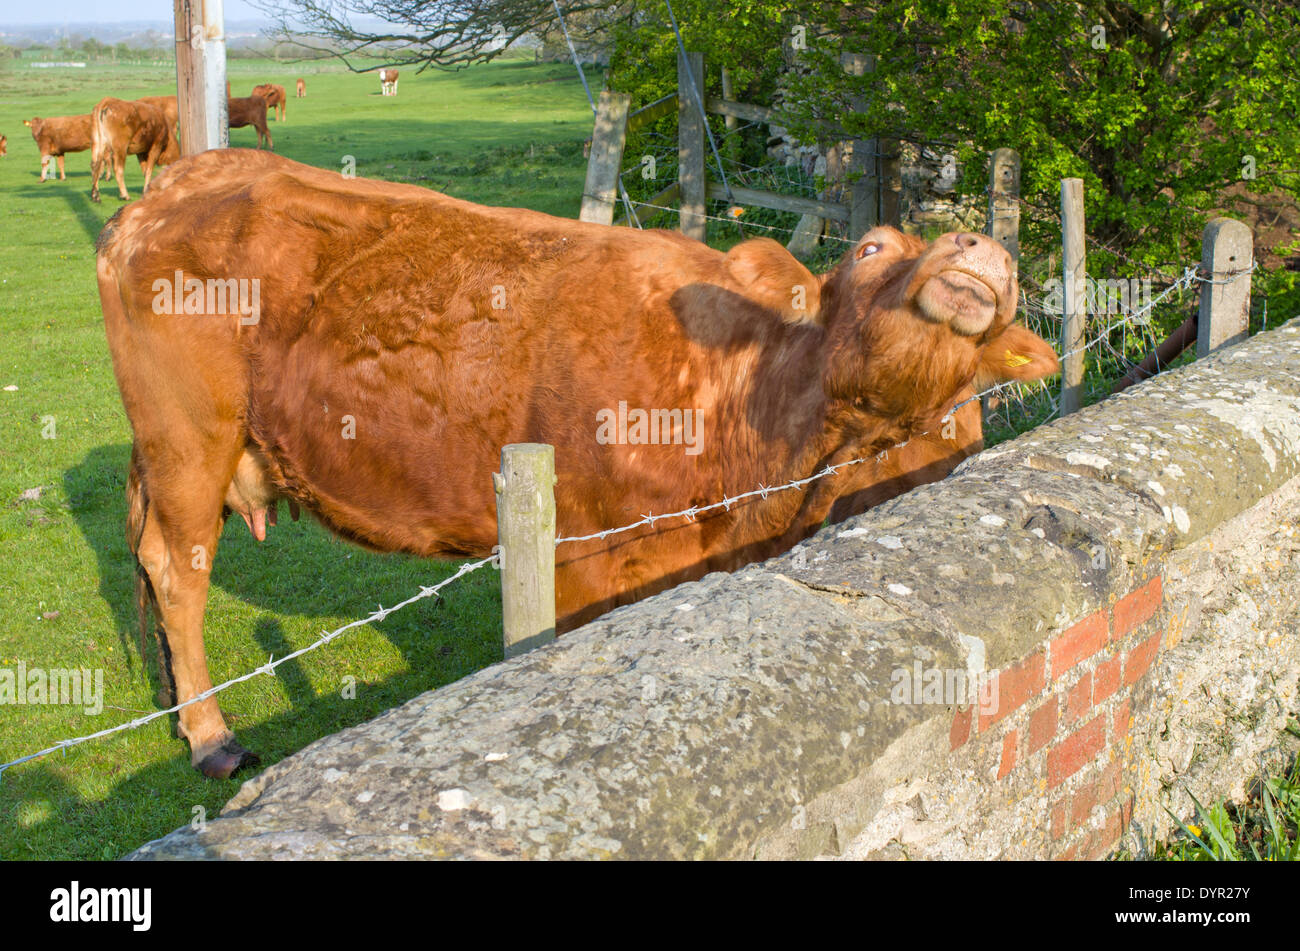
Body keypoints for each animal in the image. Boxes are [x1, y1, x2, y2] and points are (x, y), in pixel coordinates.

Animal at [96, 150, 1057, 777]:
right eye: (870, 249)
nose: (983, 249)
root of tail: (186, 175)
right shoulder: (588, 556)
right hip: (189, 442)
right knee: (175, 570)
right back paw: (211, 736)